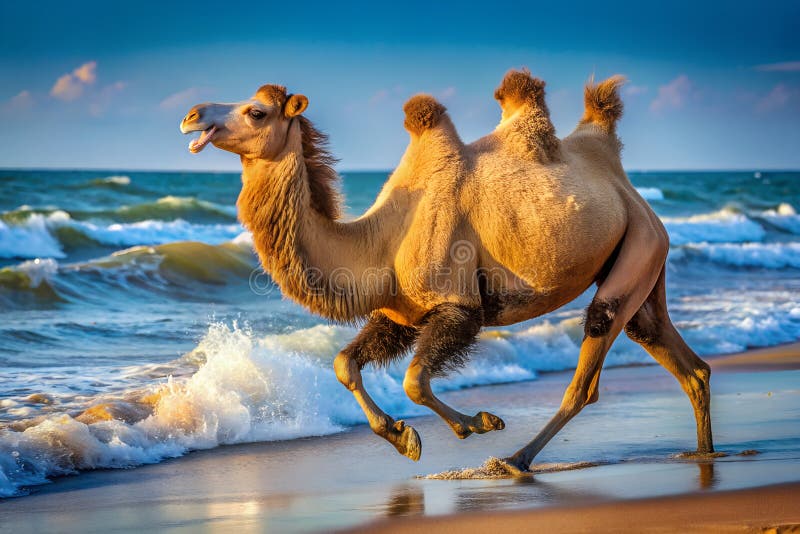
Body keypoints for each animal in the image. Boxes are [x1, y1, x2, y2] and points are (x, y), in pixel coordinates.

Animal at [179, 69, 716, 473]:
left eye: (257, 111)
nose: (191, 115)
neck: (379, 242)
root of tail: (626, 185)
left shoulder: (457, 305)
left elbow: (415, 380)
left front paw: (476, 424)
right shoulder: (400, 313)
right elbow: (344, 364)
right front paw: (401, 436)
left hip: (639, 246)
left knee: (592, 358)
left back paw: (515, 459)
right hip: (644, 255)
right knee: (674, 351)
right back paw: (705, 451)